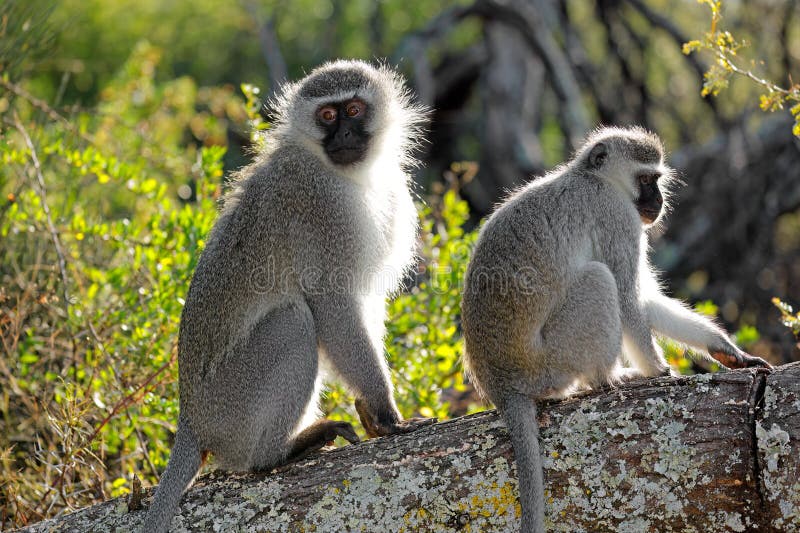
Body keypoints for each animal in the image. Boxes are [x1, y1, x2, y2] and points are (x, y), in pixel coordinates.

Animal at [143, 60, 434, 533]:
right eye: (328, 116)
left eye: (354, 109)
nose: (344, 134)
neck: (349, 175)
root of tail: (190, 420)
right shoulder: (321, 210)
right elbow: (333, 309)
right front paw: (387, 414)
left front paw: (370, 411)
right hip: (232, 408)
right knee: (294, 321)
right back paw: (276, 454)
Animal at [460, 126, 771, 533]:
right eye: (646, 180)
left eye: (657, 180)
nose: (658, 201)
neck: (594, 178)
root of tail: (501, 385)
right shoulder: (616, 215)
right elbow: (626, 295)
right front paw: (658, 371)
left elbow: (647, 300)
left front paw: (727, 351)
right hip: (552, 359)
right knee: (599, 279)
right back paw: (608, 377)